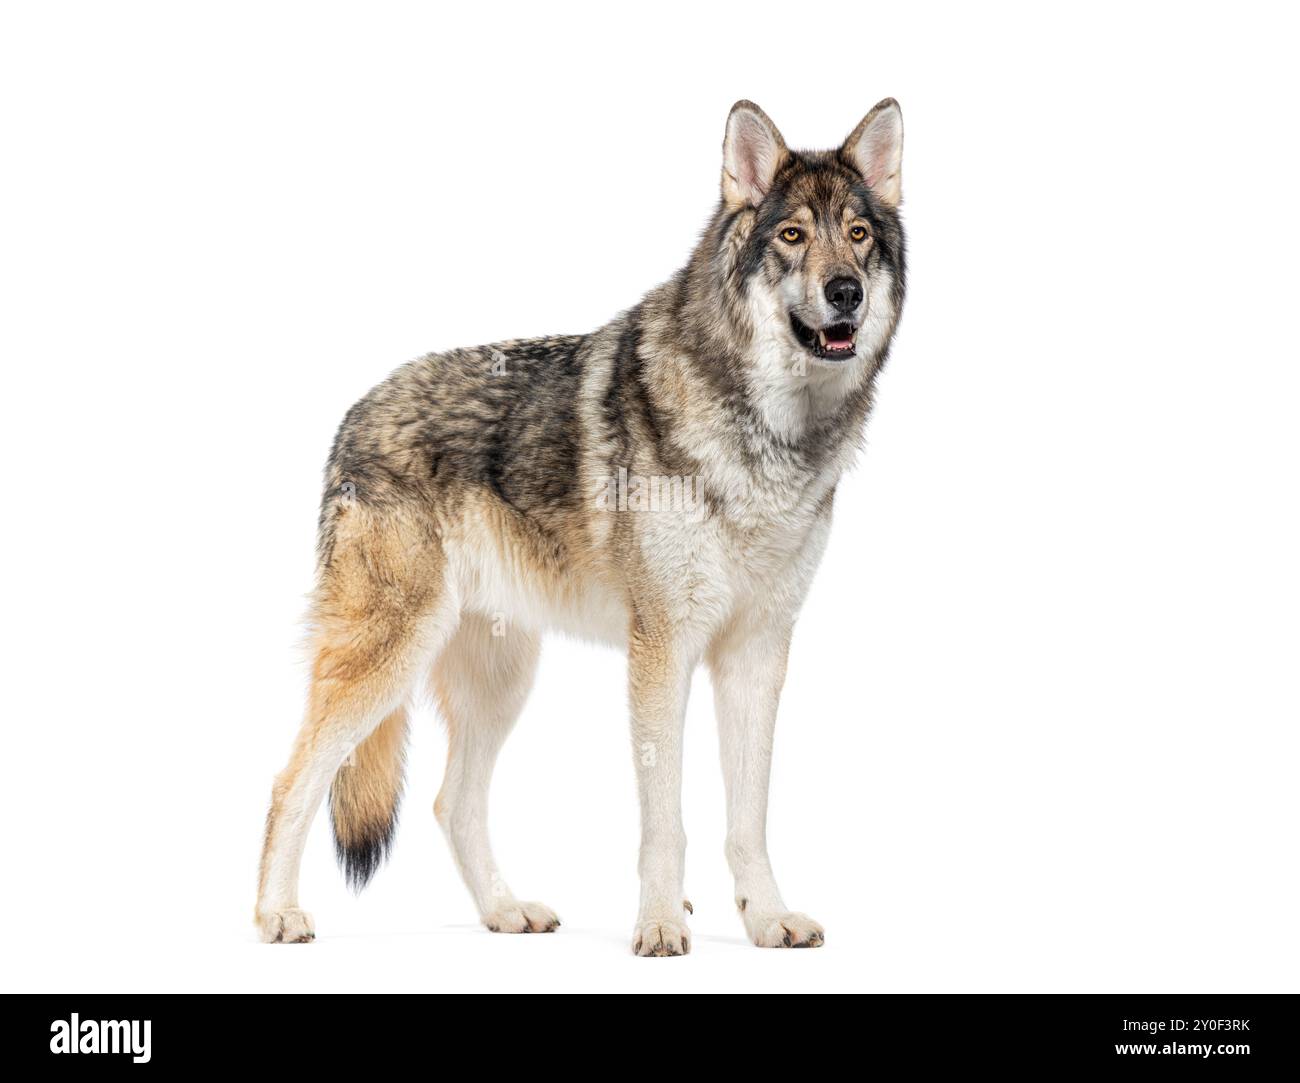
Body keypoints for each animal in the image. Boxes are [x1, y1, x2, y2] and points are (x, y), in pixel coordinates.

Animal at [256, 99, 906, 955]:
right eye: (793, 235)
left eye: (858, 234)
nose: (845, 292)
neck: (765, 439)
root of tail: (353, 414)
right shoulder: (663, 648)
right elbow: (666, 820)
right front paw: (661, 926)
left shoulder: (756, 653)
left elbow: (748, 819)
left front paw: (767, 920)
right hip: (389, 658)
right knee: (292, 779)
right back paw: (277, 915)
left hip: (503, 678)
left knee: (450, 802)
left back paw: (506, 911)